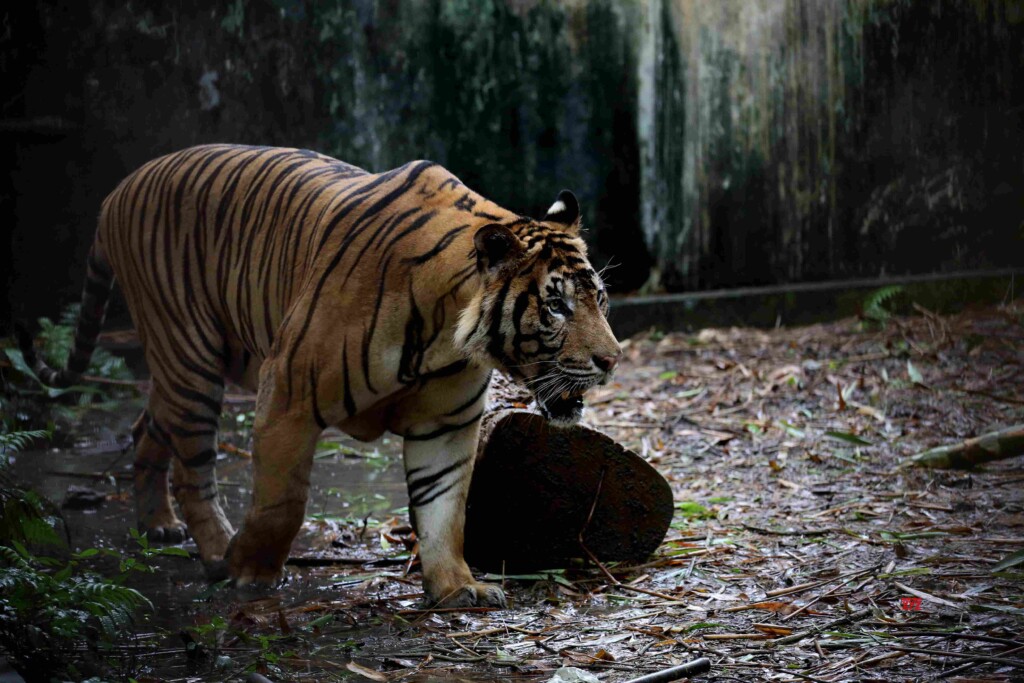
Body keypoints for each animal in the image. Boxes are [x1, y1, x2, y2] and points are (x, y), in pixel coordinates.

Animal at [21, 144, 622, 606]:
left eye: (600, 298)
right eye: (557, 307)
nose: (612, 360)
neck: (446, 337)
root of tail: (117, 191)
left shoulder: (446, 425)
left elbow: (444, 508)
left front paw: (456, 587)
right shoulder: (287, 393)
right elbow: (282, 502)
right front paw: (250, 572)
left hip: (181, 368)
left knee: (147, 427)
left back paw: (157, 524)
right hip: (189, 356)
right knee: (193, 467)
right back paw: (215, 551)